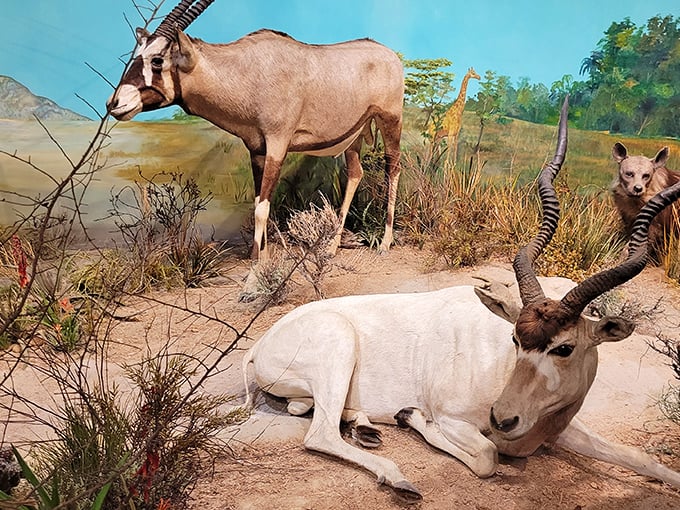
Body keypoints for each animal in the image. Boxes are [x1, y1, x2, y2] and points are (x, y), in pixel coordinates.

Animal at [106, 0, 404, 281]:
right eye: (136, 55)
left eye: (157, 60)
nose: (114, 103)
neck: (247, 72)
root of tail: (389, 54)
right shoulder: (257, 149)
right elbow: (260, 201)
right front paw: (260, 258)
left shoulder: (277, 144)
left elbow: (262, 208)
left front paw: (256, 268)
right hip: (353, 136)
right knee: (355, 173)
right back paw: (331, 247)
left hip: (390, 120)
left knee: (393, 168)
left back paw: (385, 242)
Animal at [242, 101, 680, 502]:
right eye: (516, 340)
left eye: (565, 347)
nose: (502, 417)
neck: (502, 368)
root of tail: (259, 345)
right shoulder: (457, 420)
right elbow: (487, 456)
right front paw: (412, 417)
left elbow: (642, 459)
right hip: (339, 348)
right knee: (320, 434)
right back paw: (397, 476)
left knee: (307, 410)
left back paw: (364, 426)